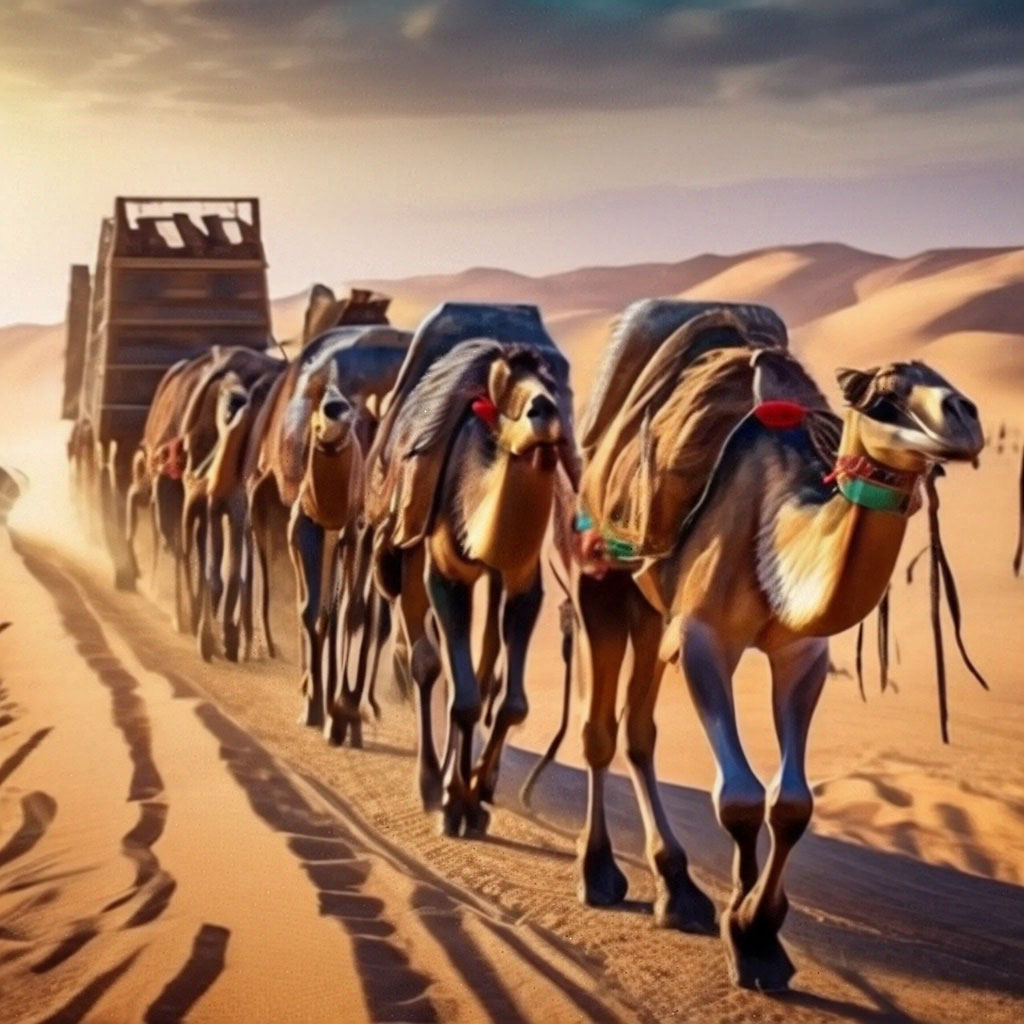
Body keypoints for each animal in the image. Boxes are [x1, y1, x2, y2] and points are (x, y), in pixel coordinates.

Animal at [246, 323, 411, 736]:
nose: (335, 408)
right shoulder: (309, 523)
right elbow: (314, 610)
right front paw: (315, 705)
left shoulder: (360, 530)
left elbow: (353, 615)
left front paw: (345, 711)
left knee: (366, 615)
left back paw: (362, 704)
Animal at [365, 303, 578, 836]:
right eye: (502, 387)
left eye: (557, 379)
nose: (544, 411)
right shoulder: (445, 574)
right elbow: (457, 694)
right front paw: (453, 803)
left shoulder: (523, 581)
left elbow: (508, 700)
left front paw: (478, 792)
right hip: (406, 556)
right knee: (423, 660)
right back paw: (428, 781)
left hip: (490, 578)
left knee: (481, 674)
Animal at [570, 300, 984, 991]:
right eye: (883, 396)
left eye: (942, 378)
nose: (966, 416)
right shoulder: (704, 638)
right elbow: (737, 798)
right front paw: (748, 938)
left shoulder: (802, 654)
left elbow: (791, 804)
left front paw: (756, 924)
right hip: (599, 573)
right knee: (600, 730)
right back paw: (599, 874)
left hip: (651, 608)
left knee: (639, 730)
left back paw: (679, 891)